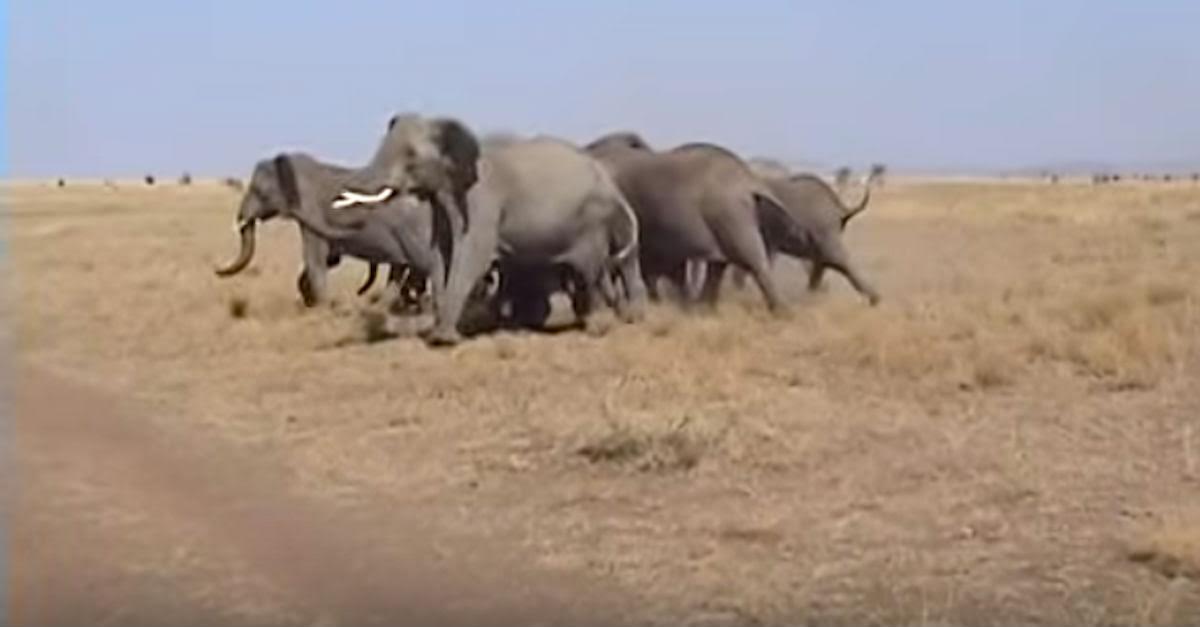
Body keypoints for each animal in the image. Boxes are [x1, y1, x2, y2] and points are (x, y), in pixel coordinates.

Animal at [213, 153, 441, 312]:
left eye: (259, 192)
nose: (216, 269)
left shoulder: (311, 212)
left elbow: (315, 257)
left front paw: (320, 309)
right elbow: (327, 260)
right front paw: (311, 302)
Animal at [330, 114, 647, 347]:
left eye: (410, 155)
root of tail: (608, 181)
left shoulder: (482, 199)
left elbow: (472, 256)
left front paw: (444, 340)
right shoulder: (445, 197)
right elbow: (442, 254)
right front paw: (439, 334)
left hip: (590, 220)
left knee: (588, 269)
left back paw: (599, 326)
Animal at [584, 132, 801, 313]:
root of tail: (750, 181)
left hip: (729, 215)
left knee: (751, 260)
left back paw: (780, 313)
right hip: (727, 217)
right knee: (719, 266)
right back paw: (704, 309)